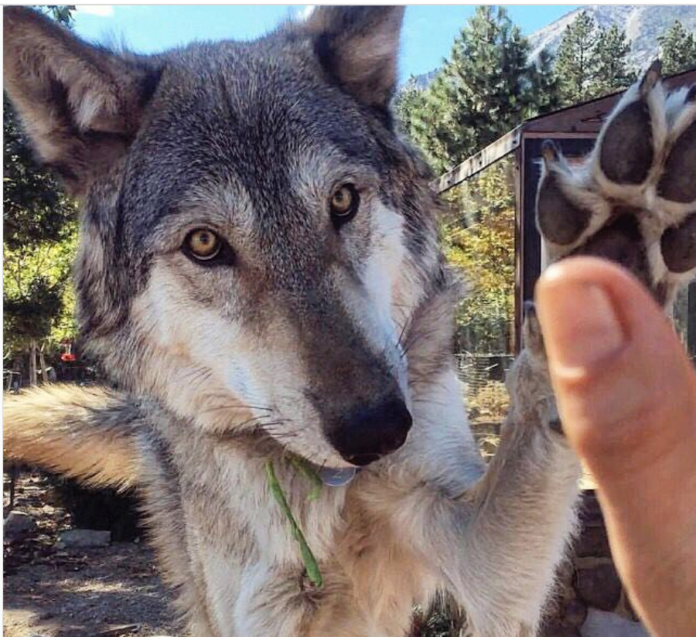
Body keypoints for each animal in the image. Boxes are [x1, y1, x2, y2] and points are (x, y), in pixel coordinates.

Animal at [4, 6, 696, 637]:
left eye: (341, 200)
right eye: (203, 244)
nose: (379, 430)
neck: (331, 486)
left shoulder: (475, 552)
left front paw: (614, 246)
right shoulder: (262, 613)